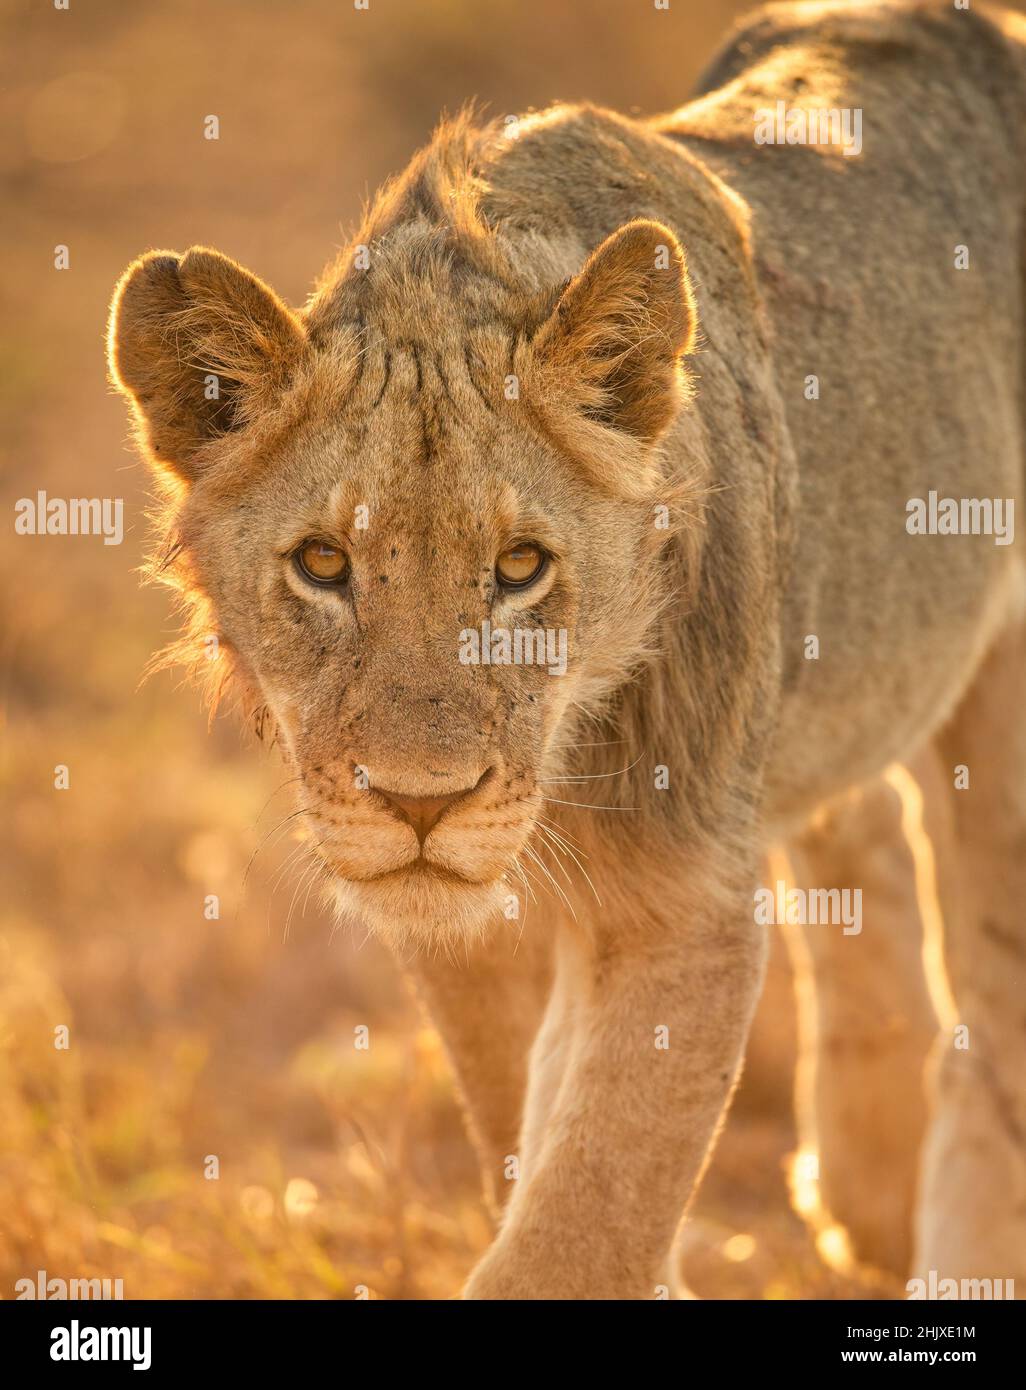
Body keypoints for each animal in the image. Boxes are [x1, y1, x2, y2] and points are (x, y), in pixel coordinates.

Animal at [107, 0, 1026, 1299]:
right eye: (324, 564)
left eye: (521, 567)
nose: (420, 803)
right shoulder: (467, 936)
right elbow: (530, 1141)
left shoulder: (687, 900)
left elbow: (587, 1212)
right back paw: (868, 1179)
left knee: (994, 981)